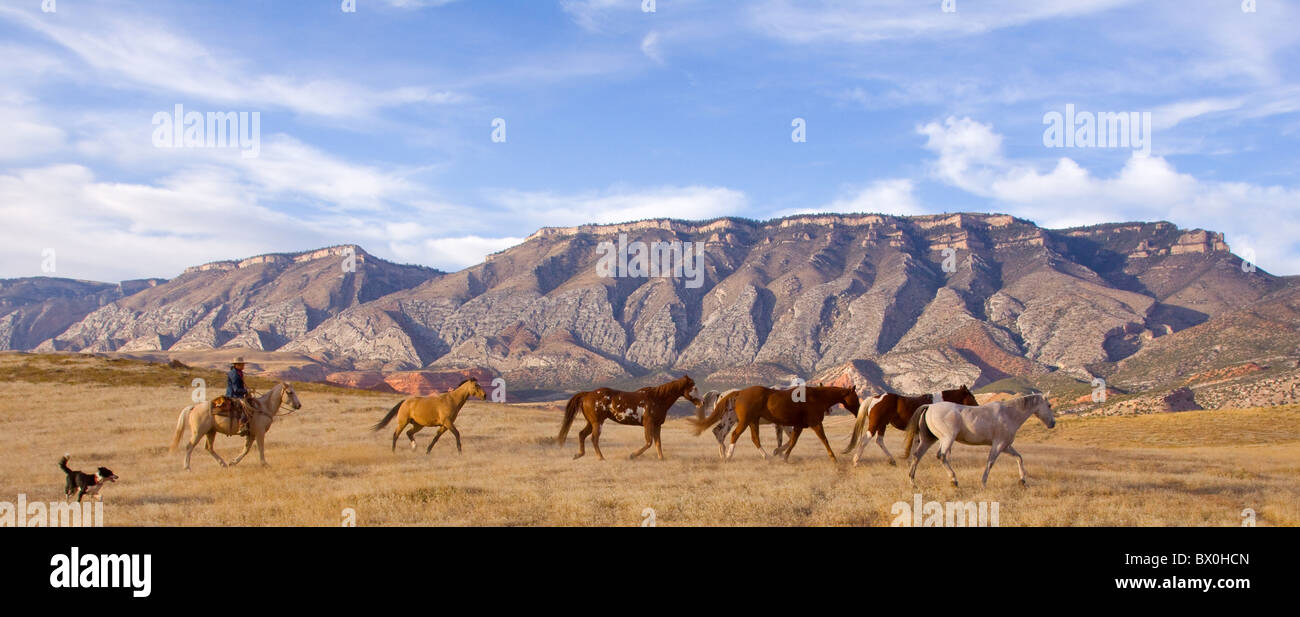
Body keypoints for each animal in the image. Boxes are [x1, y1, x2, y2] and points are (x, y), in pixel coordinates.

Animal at [169, 382, 302, 470]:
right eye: (290, 392)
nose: (299, 405)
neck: (264, 407)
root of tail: (194, 407)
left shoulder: (251, 434)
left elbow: (246, 450)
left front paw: (233, 462)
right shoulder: (259, 433)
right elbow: (260, 448)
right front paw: (264, 464)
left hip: (211, 432)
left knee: (209, 448)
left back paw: (223, 464)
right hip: (199, 432)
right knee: (189, 446)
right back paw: (187, 467)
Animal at [556, 375, 701, 461]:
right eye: (694, 387)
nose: (701, 402)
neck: (657, 398)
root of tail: (587, 394)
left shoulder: (657, 425)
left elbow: (657, 443)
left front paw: (661, 458)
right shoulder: (648, 423)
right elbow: (649, 442)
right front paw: (632, 455)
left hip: (591, 422)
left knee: (581, 434)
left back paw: (578, 454)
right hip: (598, 422)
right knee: (594, 439)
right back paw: (601, 458)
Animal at [693, 385, 860, 463]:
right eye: (856, 397)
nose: (859, 411)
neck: (816, 397)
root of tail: (738, 393)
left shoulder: (796, 425)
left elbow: (792, 441)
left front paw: (782, 455)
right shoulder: (814, 424)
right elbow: (823, 440)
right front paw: (834, 458)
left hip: (751, 422)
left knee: (751, 438)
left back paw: (764, 456)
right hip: (739, 421)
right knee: (730, 434)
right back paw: (727, 455)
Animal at [841, 386, 978, 466]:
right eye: (972, 396)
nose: (978, 406)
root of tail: (875, 398)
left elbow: (915, 446)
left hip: (882, 425)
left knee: (879, 440)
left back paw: (892, 460)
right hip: (875, 425)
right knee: (865, 439)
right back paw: (856, 461)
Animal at [902, 393, 1056, 487]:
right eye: (1049, 405)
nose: (1052, 423)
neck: (1009, 414)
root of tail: (930, 407)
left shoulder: (1006, 446)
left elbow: (1019, 458)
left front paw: (1023, 480)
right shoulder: (998, 445)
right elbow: (990, 463)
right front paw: (983, 483)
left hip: (929, 439)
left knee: (917, 456)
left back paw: (913, 483)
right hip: (947, 438)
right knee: (941, 456)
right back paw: (954, 481)